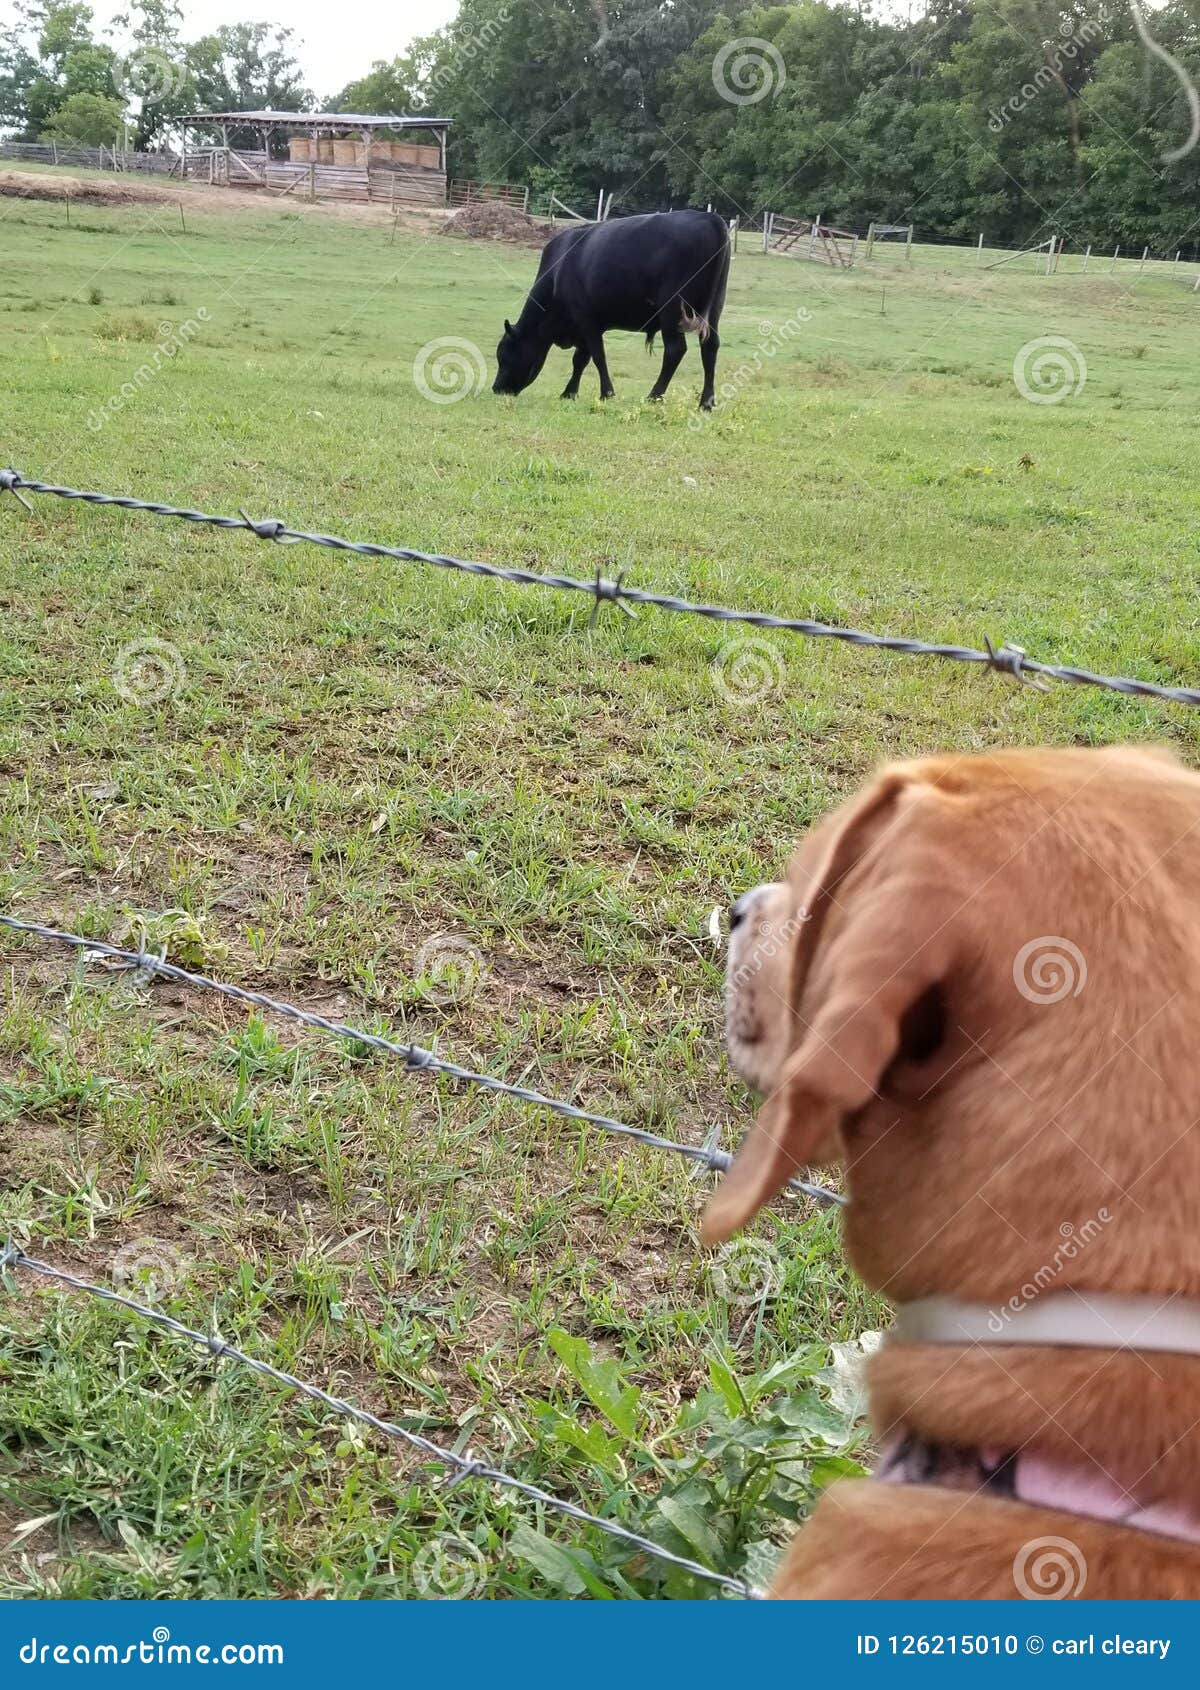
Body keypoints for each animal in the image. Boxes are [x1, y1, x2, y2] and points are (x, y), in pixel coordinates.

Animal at [492, 209, 731, 410]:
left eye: (503, 356)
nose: (496, 388)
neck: (557, 273)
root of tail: (709, 217)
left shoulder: (586, 319)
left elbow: (597, 356)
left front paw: (606, 393)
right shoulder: (585, 326)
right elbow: (581, 359)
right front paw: (569, 392)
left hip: (672, 309)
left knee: (675, 350)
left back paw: (654, 395)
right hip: (714, 308)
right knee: (710, 347)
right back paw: (706, 402)